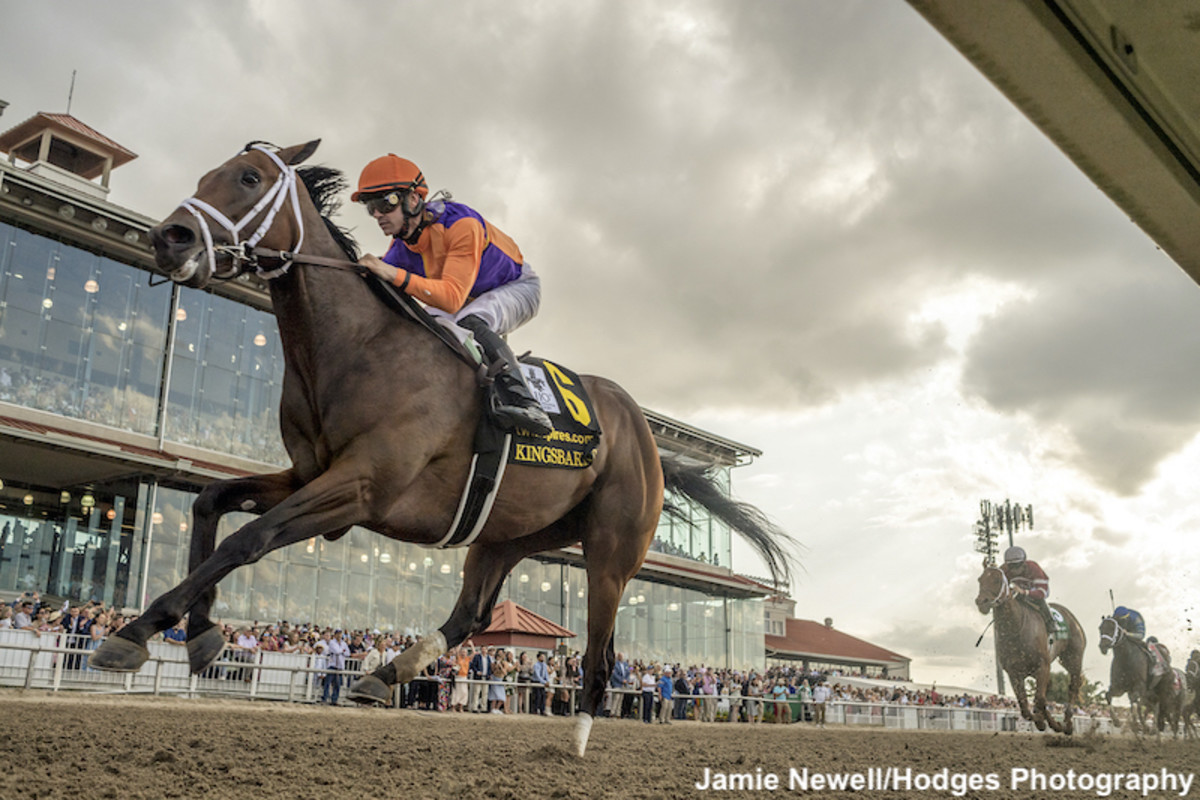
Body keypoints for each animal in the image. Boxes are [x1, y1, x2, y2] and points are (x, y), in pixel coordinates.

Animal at [88, 141, 794, 757]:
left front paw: (141, 631)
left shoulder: (361, 488)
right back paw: (387, 672)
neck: (358, 348)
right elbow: (210, 500)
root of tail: (645, 433)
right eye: (208, 174)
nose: (170, 237)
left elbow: (248, 539)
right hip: (507, 533)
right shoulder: (311, 473)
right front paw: (194, 633)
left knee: (600, 654)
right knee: (473, 613)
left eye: (248, 178)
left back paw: (577, 741)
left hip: (611, 552)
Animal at [975, 561, 1085, 733]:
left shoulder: (1042, 665)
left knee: (1073, 686)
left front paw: (1053, 723)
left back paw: (1067, 723)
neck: (1015, 627)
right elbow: (1025, 707)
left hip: (1073, 658)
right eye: (980, 580)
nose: (981, 602)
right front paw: (1040, 721)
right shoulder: (1014, 671)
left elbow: (1039, 699)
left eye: (997, 580)